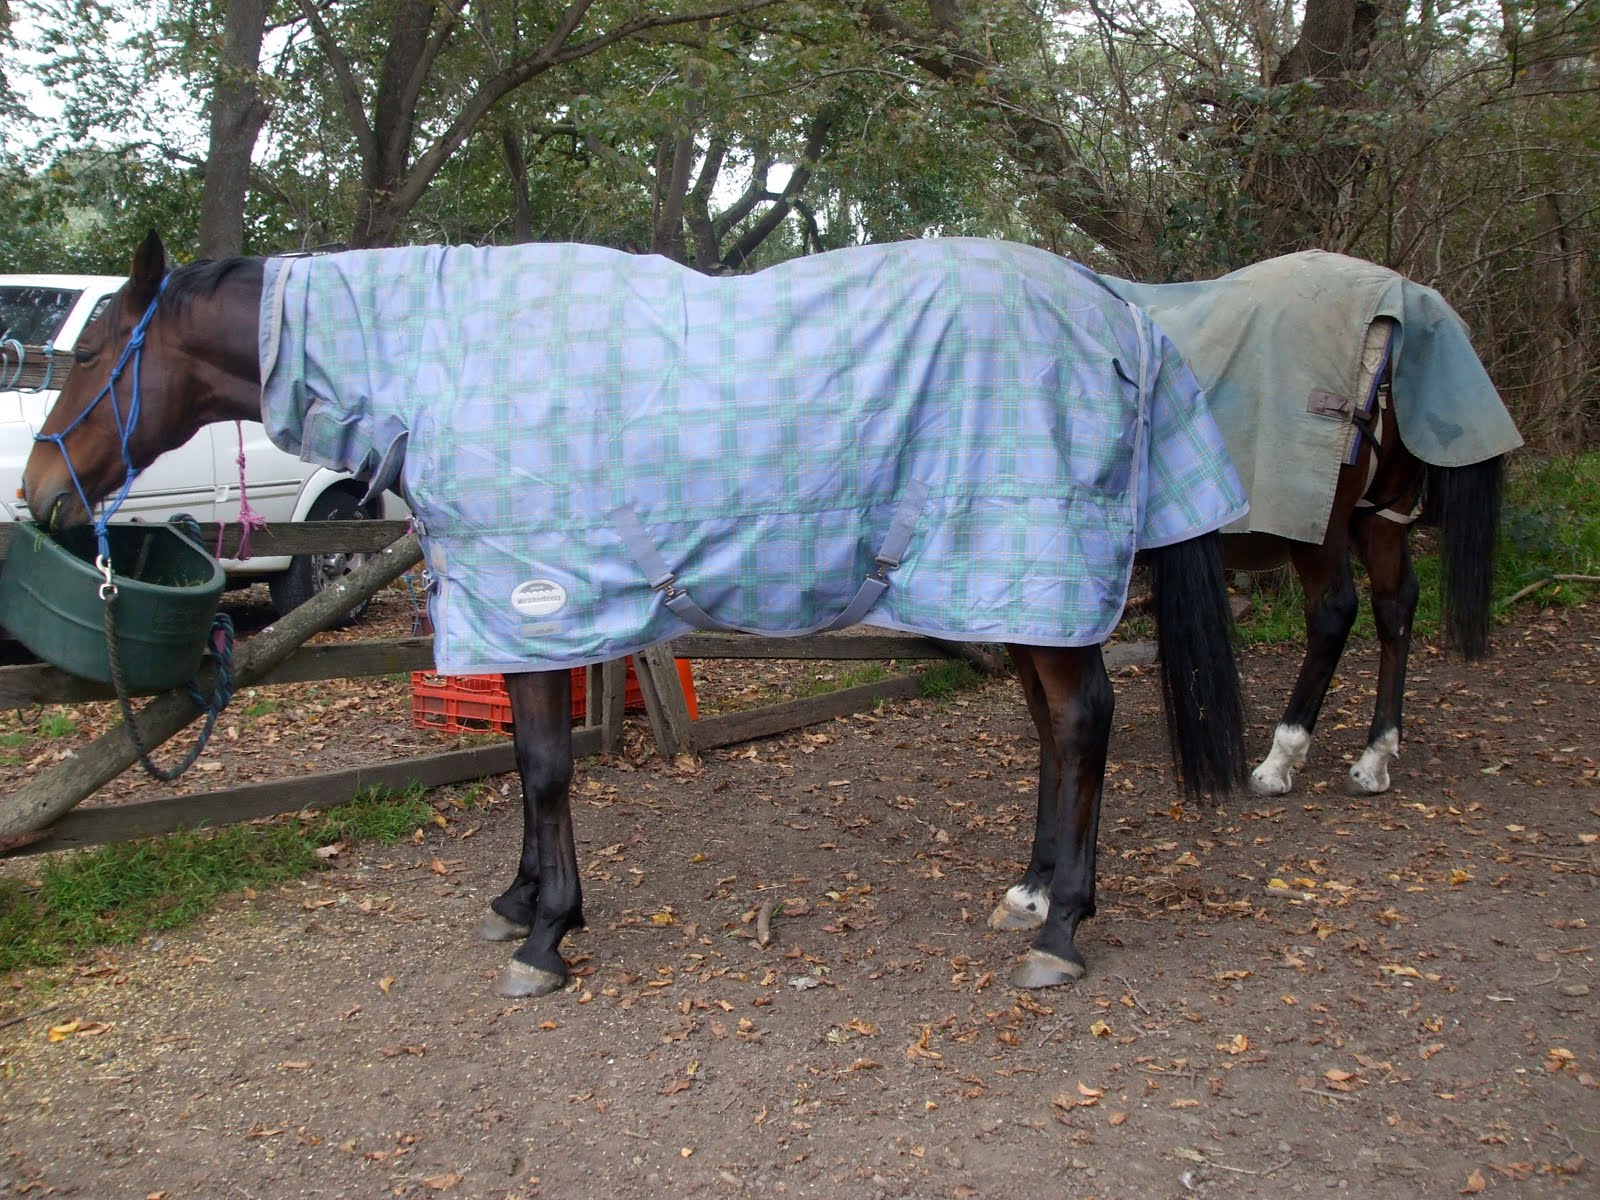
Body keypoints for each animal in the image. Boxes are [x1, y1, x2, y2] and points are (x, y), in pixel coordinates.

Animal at [23, 232, 1249, 997]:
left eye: (92, 352)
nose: (41, 498)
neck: (444, 362)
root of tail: (1112, 303)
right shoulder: (524, 608)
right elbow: (529, 763)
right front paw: (520, 900)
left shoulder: (535, 595)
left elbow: (544, 767)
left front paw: (547, 935)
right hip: (1006, 586)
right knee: (1053, 728)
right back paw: (1031, 892)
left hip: (1031, 566)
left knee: (1081, 721)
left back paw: (1063, 928)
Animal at [990, 252, 1518, 935]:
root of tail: (1399, 300)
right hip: (1381, 518)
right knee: (1395, 606)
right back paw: (1374, 757)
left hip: (1321, 525)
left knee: (1335, 612)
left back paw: (1279, 760)